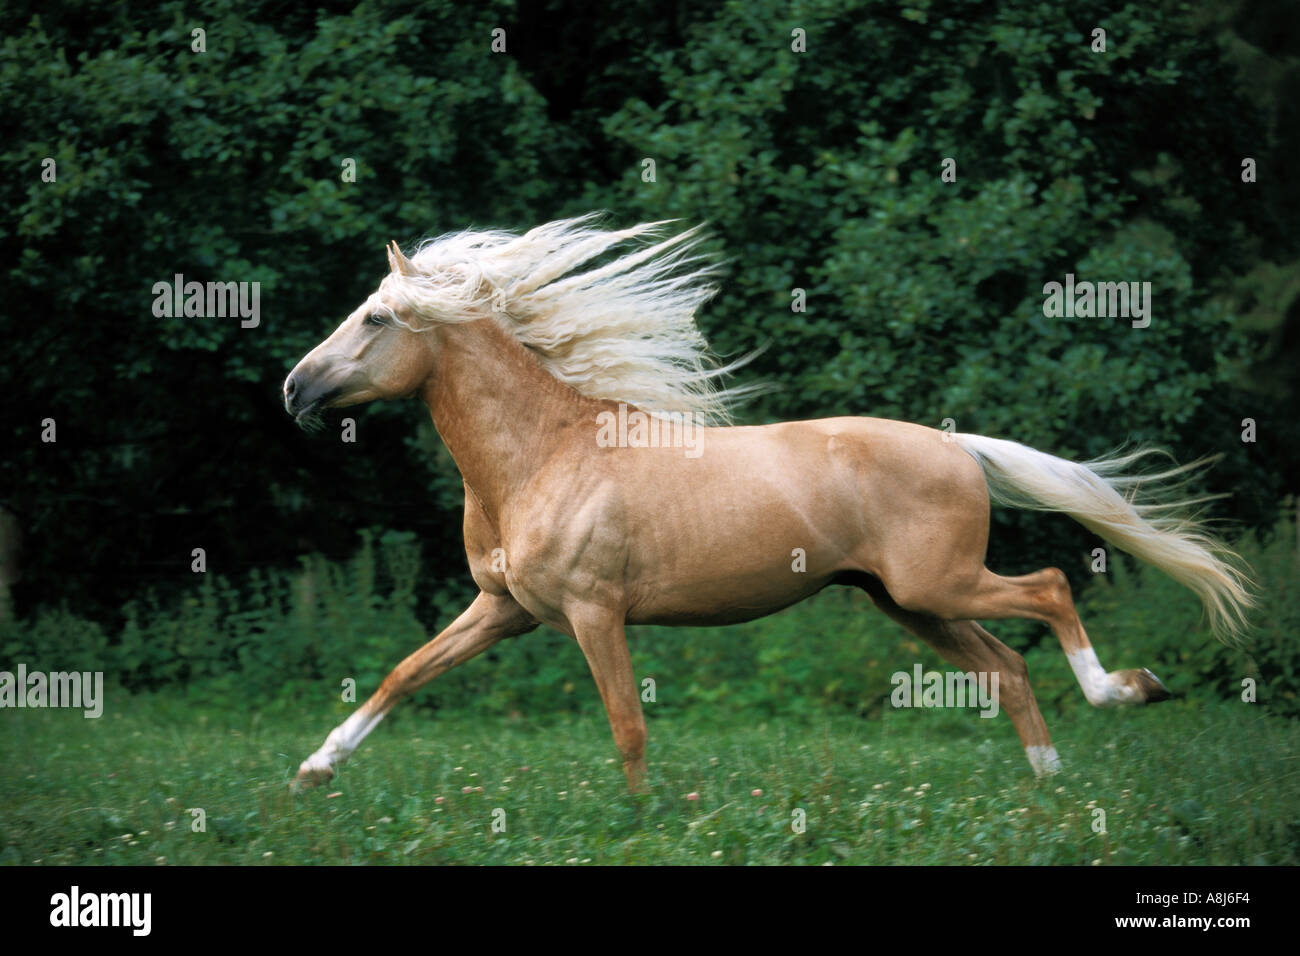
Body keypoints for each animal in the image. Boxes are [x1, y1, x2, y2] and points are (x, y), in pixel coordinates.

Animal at [282, 213, 1253, 792]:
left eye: (376, 319)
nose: (294, 388)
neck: (545, 455)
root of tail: (959, 446)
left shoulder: (595, 613)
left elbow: (628, 727)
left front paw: (641, 822)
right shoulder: (504, 608)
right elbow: (406, 673)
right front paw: (313, 770)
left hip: (939, 584)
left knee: (1049, 587)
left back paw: (1129, 692)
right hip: (908, 602)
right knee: (1006, 667)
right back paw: (1050, 784)